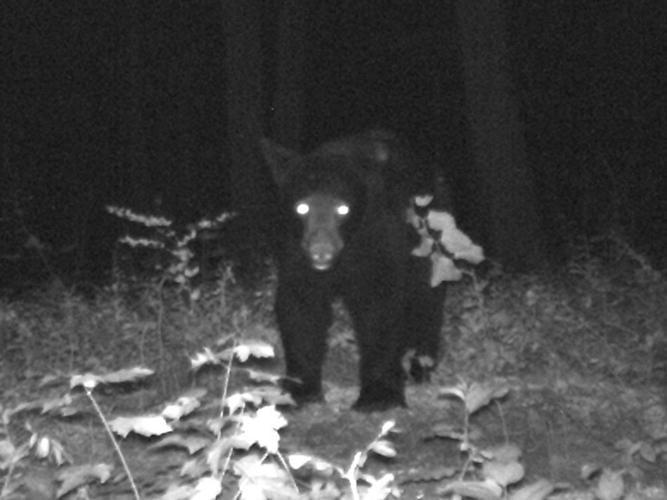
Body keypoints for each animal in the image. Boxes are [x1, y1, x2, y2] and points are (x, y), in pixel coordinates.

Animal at [261, 130, 445, 411]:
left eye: (342, 208)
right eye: (302, 207)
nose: (321, 251)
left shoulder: (378, 239)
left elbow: (380, 307)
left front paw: (379, 395)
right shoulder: (296, 254)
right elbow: (300, 307)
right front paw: (299, 390)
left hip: (426, 236)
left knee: (426, 296)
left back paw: (421, 365)